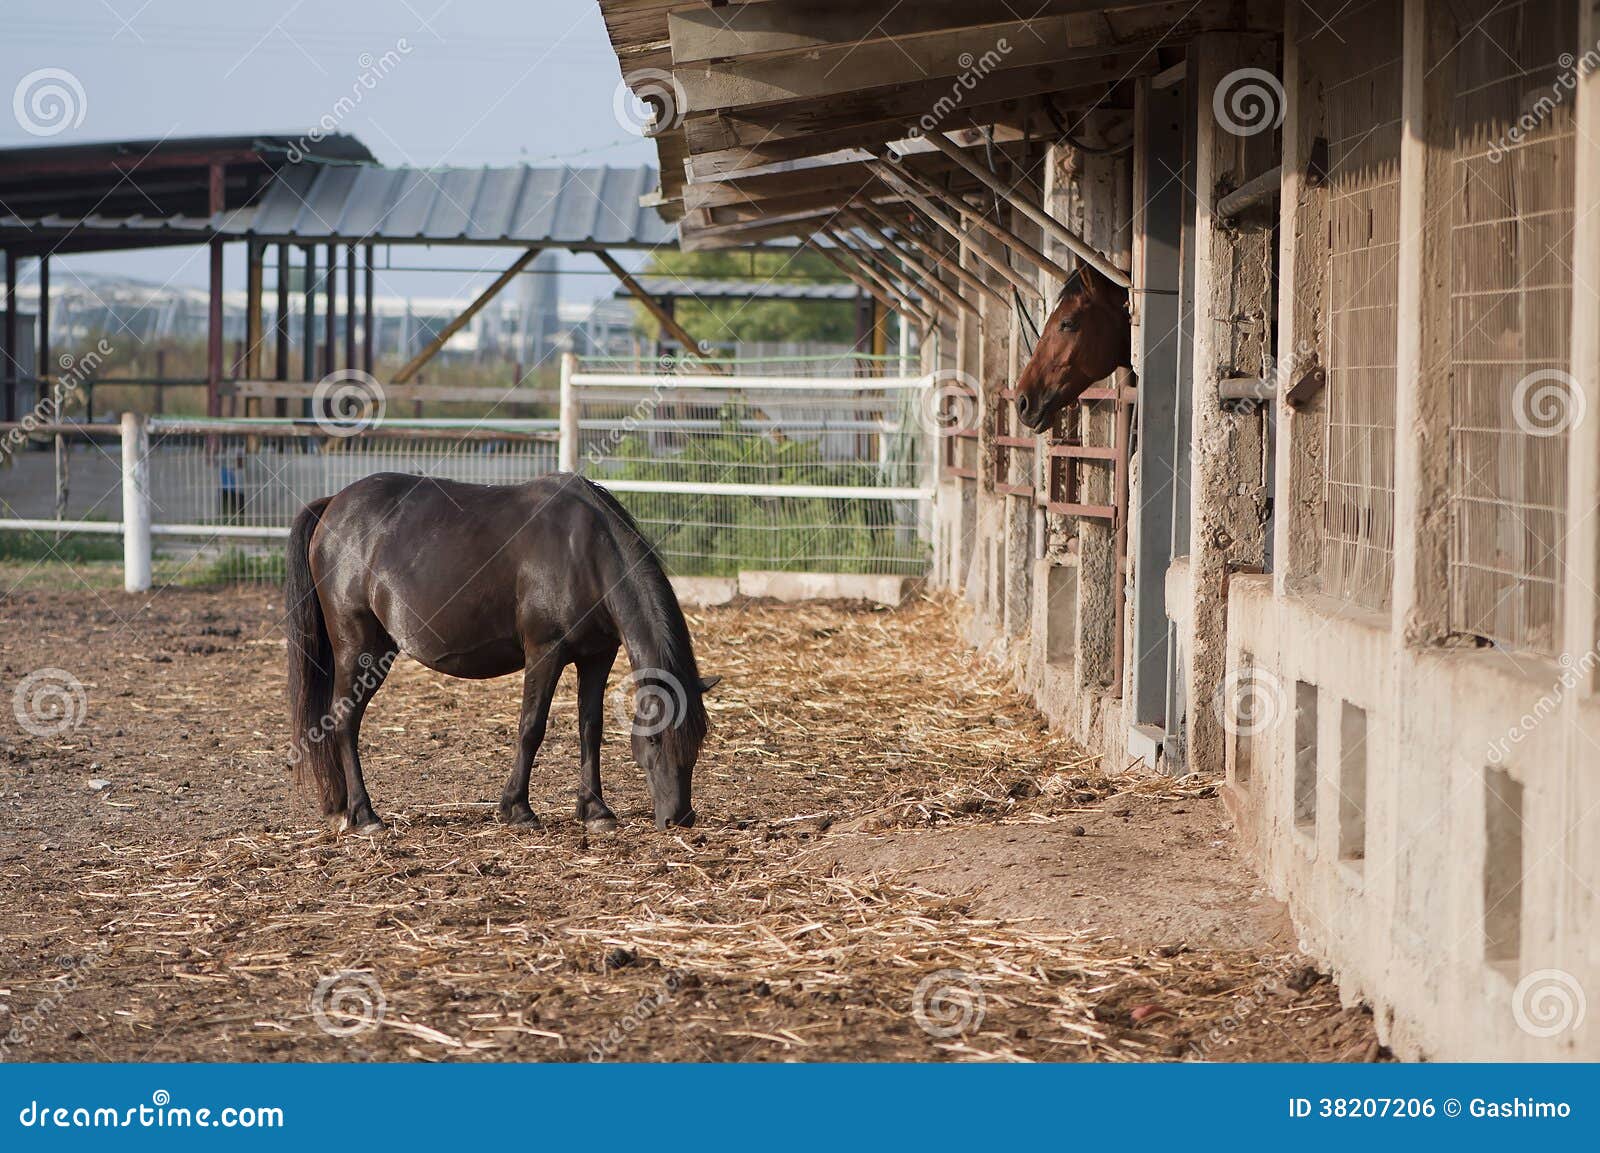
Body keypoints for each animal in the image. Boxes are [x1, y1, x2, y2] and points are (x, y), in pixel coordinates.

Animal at [284, 471, 719, 835]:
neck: (585, 551)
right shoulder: (545, 653)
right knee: (344, 722)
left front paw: (596, 811)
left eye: (698, 739)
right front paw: (518, 809)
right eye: (656, 740)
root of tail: (333, 504)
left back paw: (342, 807)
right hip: (359, 651)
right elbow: (531, 728)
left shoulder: (598, 656)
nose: (680, 817)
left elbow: (590, 729)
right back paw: (364, 814)